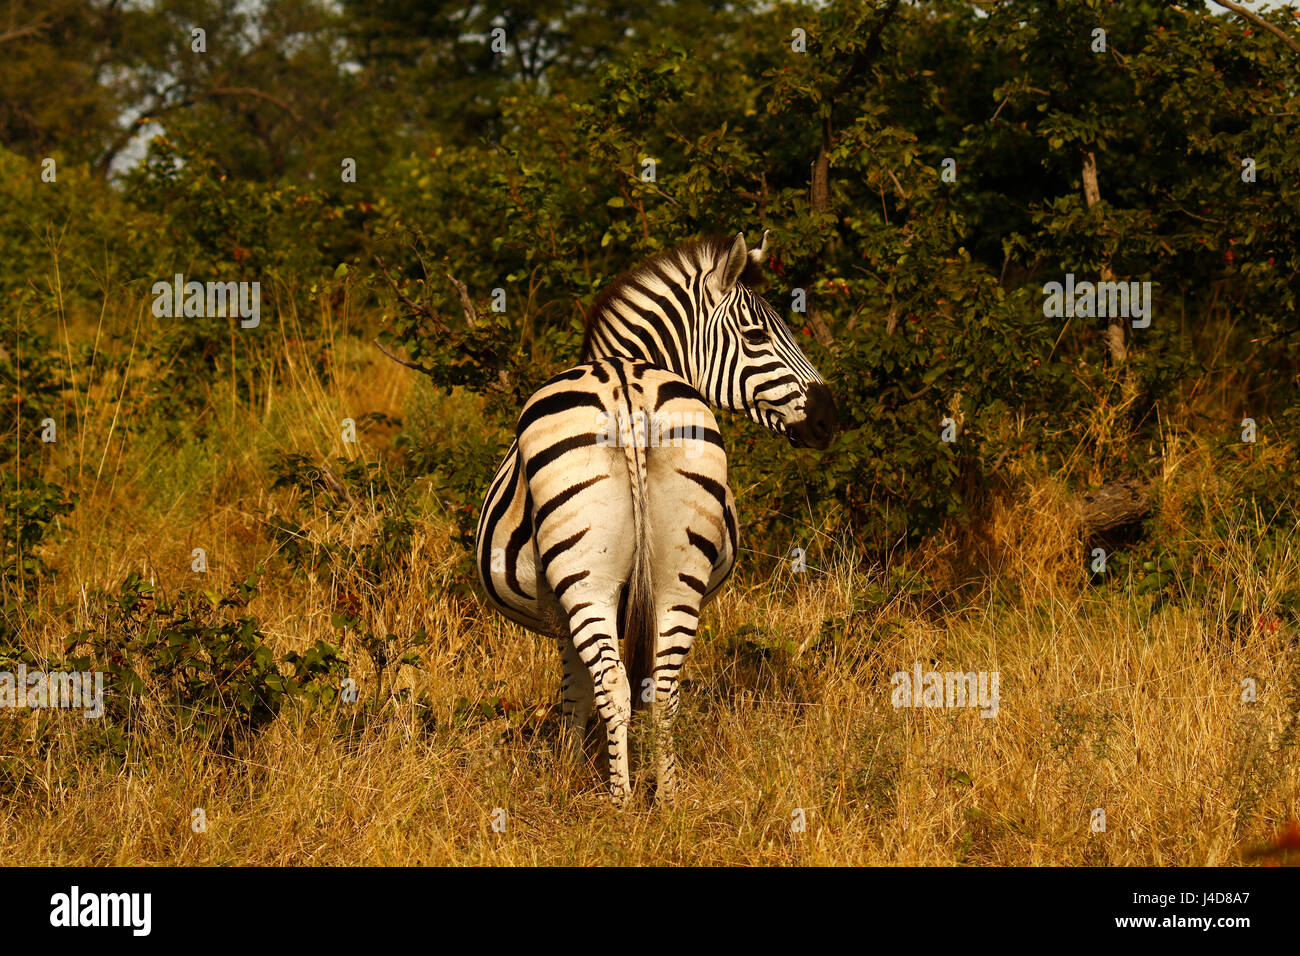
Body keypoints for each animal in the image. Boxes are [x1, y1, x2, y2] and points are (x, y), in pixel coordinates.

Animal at [476, 231, 836, 805]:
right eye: (757, 335)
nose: (830, 417)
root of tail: (627, 387)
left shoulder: (561, 606)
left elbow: (575, 692)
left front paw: (568, 772)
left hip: (587, 580)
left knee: (614, 686)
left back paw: (621, 803)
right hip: (679, 577)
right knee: (663, 689)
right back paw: (667, 798)